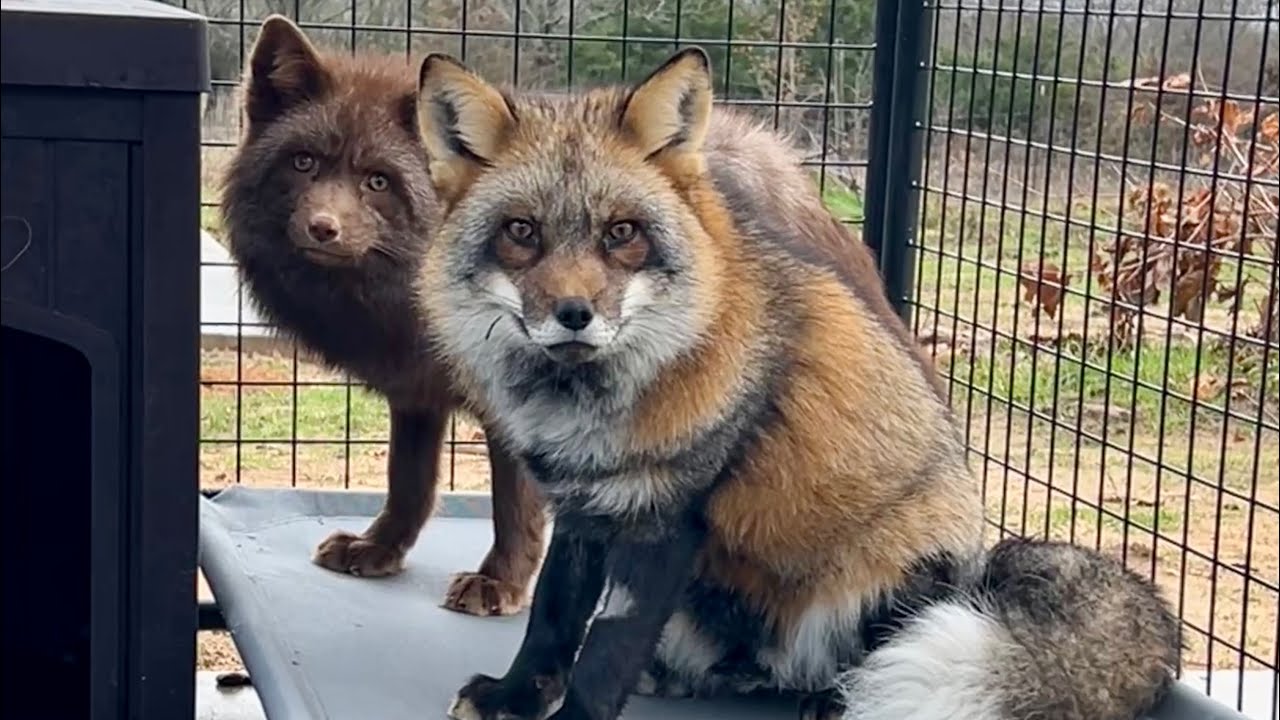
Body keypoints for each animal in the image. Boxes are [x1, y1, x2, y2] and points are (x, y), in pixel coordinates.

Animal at [218, 15, 547, 617]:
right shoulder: (416, 395)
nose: (322, 228)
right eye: (304, 162)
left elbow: (513, 508)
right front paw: (379, 546)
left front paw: (501, 581)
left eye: (377, 180)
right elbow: (408, 482)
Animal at [409, 47, 1183, 720]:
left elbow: (604, 651)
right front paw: (515, 697)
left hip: (889, 572)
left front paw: (571, 711)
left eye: (621, 233)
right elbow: (553, 620)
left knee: (866, 658)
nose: (575, 314)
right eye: (521, 232)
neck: (586, 406)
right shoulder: (584, 510)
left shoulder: (663, 520)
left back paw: (839, 699)